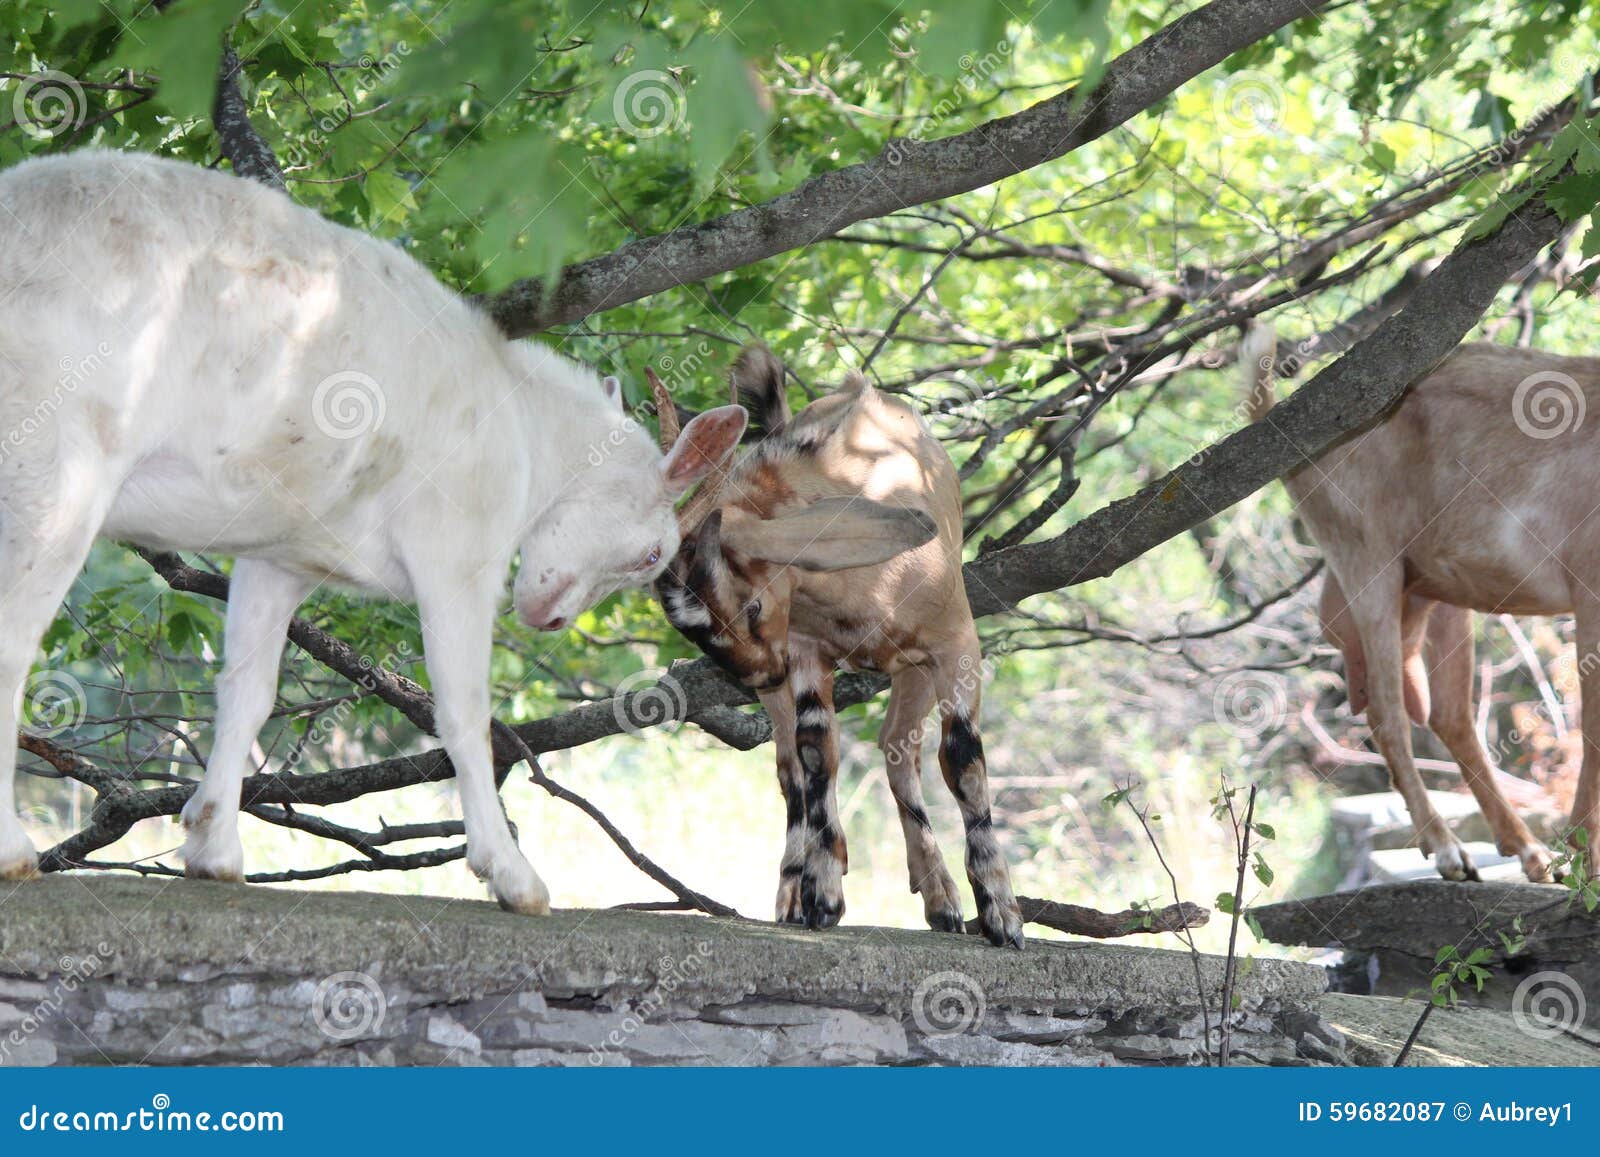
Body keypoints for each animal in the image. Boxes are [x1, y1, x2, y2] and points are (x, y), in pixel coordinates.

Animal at [0, 151, 747, 911]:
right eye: (652, 554)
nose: (549, 617)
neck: (524, 426)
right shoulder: (456, 551)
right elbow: (464, 711)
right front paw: (513, 876)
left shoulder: (280, 555)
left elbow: (248, 690)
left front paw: (215, 849)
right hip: (56, 464)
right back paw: (12, 850)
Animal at [651, 348, 1025, 947]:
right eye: (697, 636)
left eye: (752, 606)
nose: (761, 676)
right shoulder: (806, 650)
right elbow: (815, 750)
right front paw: (821, 893)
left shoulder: (954, 643)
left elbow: (961, 758)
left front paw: (1001, 914)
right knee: (794, 766)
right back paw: (795, 888)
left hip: (913, 669)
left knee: (898, 748)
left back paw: (942, 900)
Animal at [1245, 320, 1570, 883]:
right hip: (1371, 570)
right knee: (1389, 714)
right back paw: (1447, 848)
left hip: (1437, 598)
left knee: (1449, 716)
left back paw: (1527, 851)